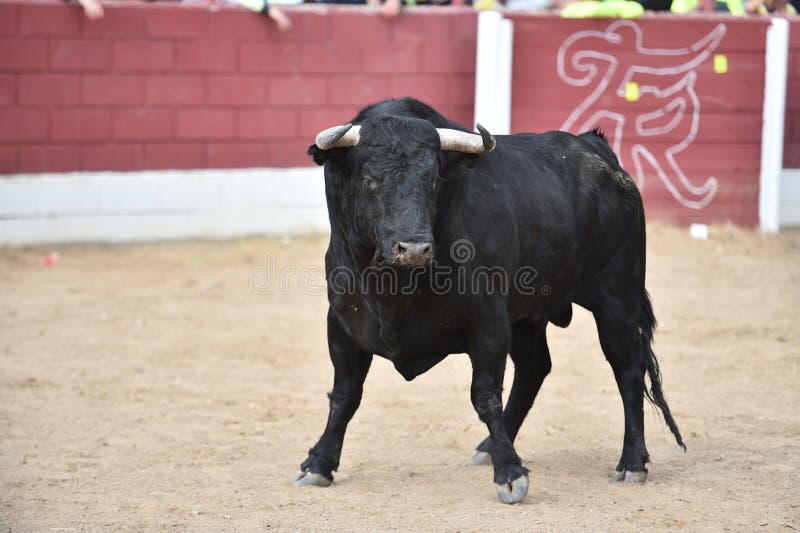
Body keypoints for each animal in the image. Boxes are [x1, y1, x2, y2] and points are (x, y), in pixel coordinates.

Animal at [292, 97, 685, 504]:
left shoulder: (488, 323)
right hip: (528, 315)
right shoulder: (341, 323)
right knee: (534, 367)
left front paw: (510, 473)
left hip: (617, 299)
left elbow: (484, 395)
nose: (414, 248)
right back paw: (489, 447)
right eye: (369, 181)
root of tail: (599, 150)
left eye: (434, 181)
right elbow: (344, 395)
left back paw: (632, 462)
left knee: (627, 369)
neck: (394, 287)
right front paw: (318, 464)